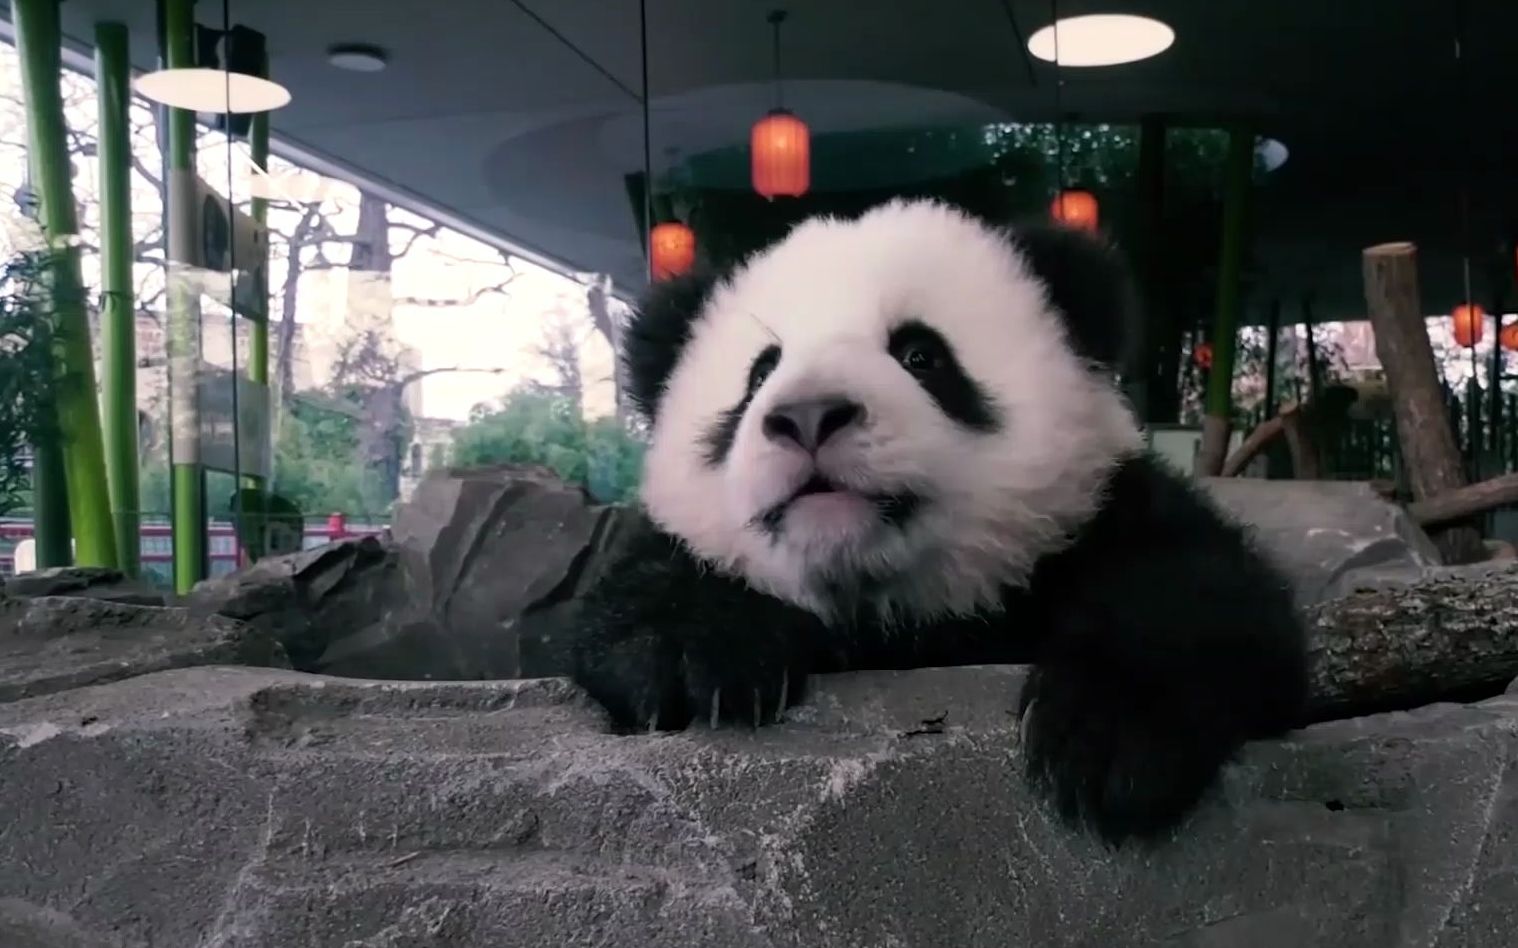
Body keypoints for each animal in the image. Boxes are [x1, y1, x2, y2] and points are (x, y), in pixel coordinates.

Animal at [571, 199, 1309, 846]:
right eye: (759, 374)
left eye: (921, 355)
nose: (809, 415)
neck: (892, 610)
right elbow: (643, 593)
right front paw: (697, 658)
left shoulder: (1096, 514)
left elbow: (1208, 598)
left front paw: (1109, 737)